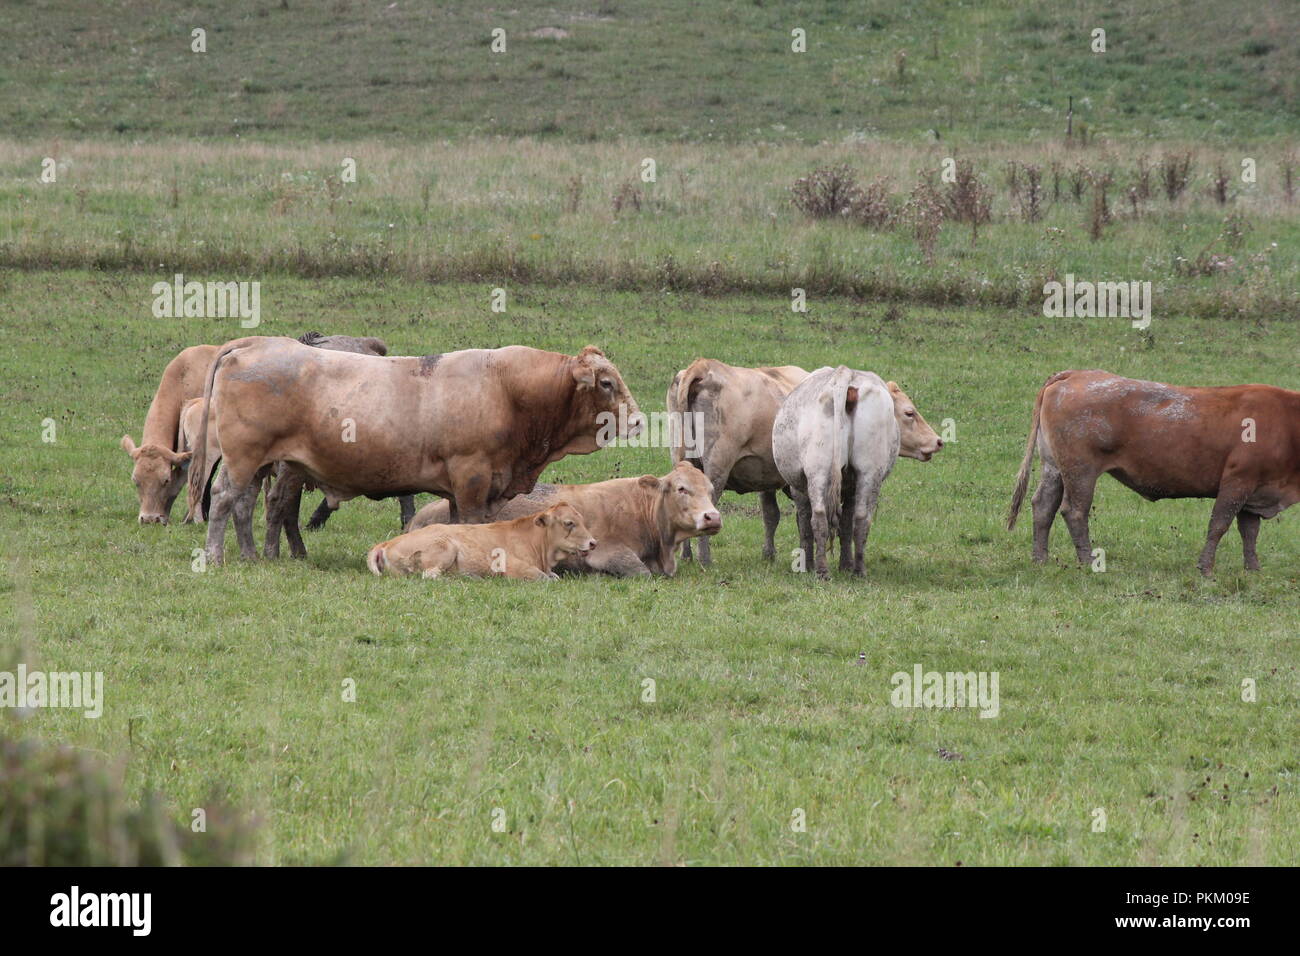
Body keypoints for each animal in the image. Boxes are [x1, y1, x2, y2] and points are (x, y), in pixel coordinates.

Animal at [189, 338, 642, 564]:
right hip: (245, 456)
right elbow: (472, 523)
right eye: (606, 383)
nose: (638, 421)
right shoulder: (473, 477)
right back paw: (216, 555)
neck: (507, 390)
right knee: (227, 498)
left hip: (262, 463)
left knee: (249, 504)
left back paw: (253, 554)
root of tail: (247, 347)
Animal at [366, 502, 596, 581]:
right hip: (445, 547)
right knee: (429, 576)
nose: (593, 542)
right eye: (569, 523)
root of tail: (386, 543)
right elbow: (543, 578)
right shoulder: (515, 567)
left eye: (582, 519)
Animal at [666, 358, 809, 566]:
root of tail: (703, 365)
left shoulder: (764, 473)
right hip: (717, 467)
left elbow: (771, 514)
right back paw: (705, 560)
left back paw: (687, 556)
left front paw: (768, 554)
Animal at [773, 366, 942, 579]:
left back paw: (823, 570)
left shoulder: (799, 486)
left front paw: (810, 565)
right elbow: (844, 524)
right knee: (860, 519)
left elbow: (807, 525)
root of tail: (845, 373)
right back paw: (856, 570)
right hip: (868, 473)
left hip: (819, 470)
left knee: (819, 518)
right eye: (909, 413)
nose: (938, 441)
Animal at [1007, 369, 1300, 574]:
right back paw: (1088, 561)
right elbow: (1219, 524)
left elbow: (1249, 532)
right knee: (1074, 511)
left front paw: (1253, 570)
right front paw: (1206, 569)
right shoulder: (1237, 482)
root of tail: (1075, 374)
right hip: (1080, 471)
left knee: (1043, 505)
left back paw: (1040, 559)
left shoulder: (1255, 491)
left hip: (1054, 468)